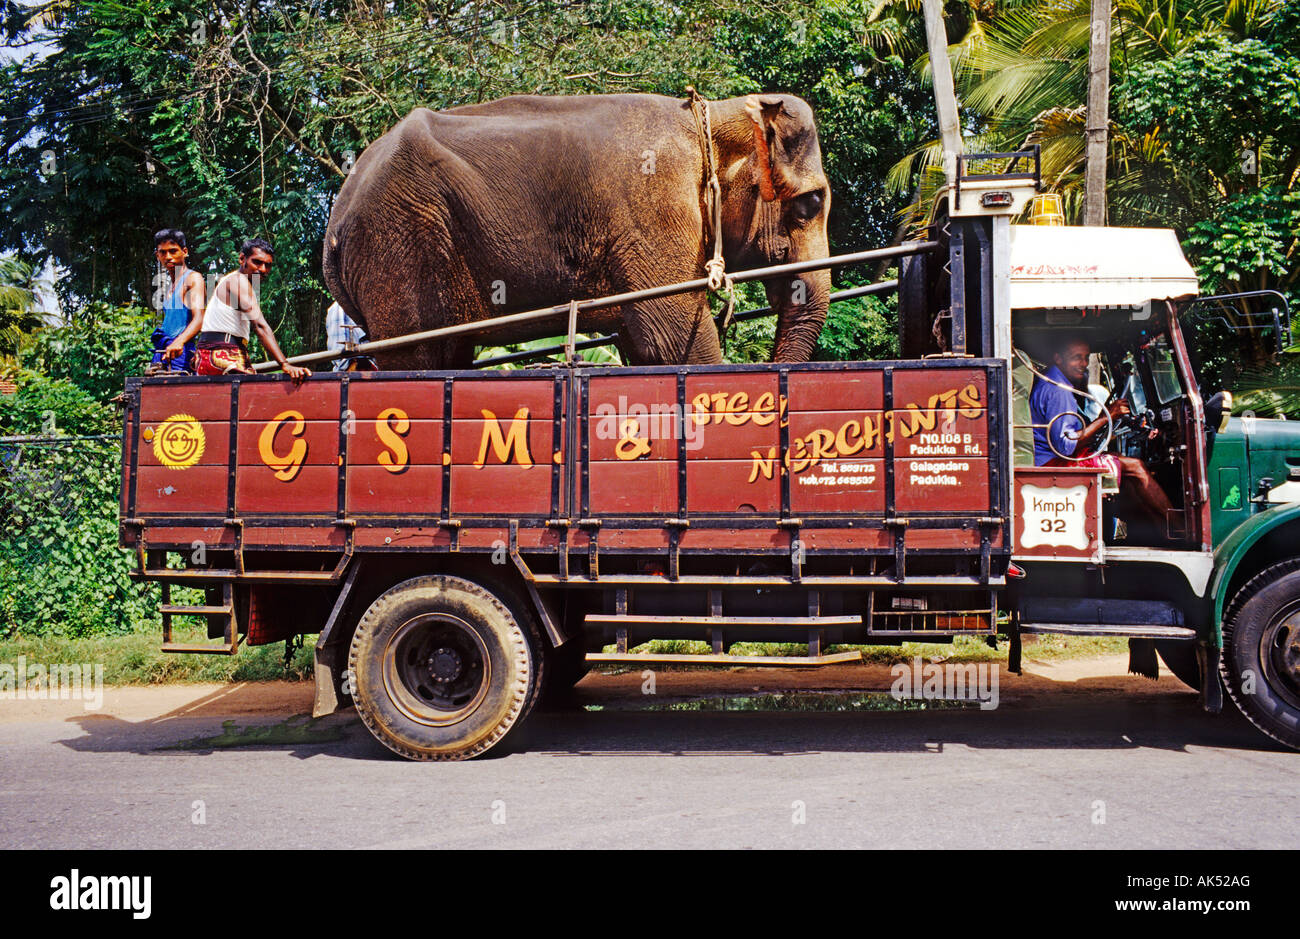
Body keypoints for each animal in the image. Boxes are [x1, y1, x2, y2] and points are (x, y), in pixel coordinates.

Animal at [322, 92, 831, 369]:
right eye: (810, 203)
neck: (710, 114)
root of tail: (334, 224)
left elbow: (643, 346)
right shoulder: (652, 209)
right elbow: (673, 340)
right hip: (397, 246)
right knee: (417, 358)